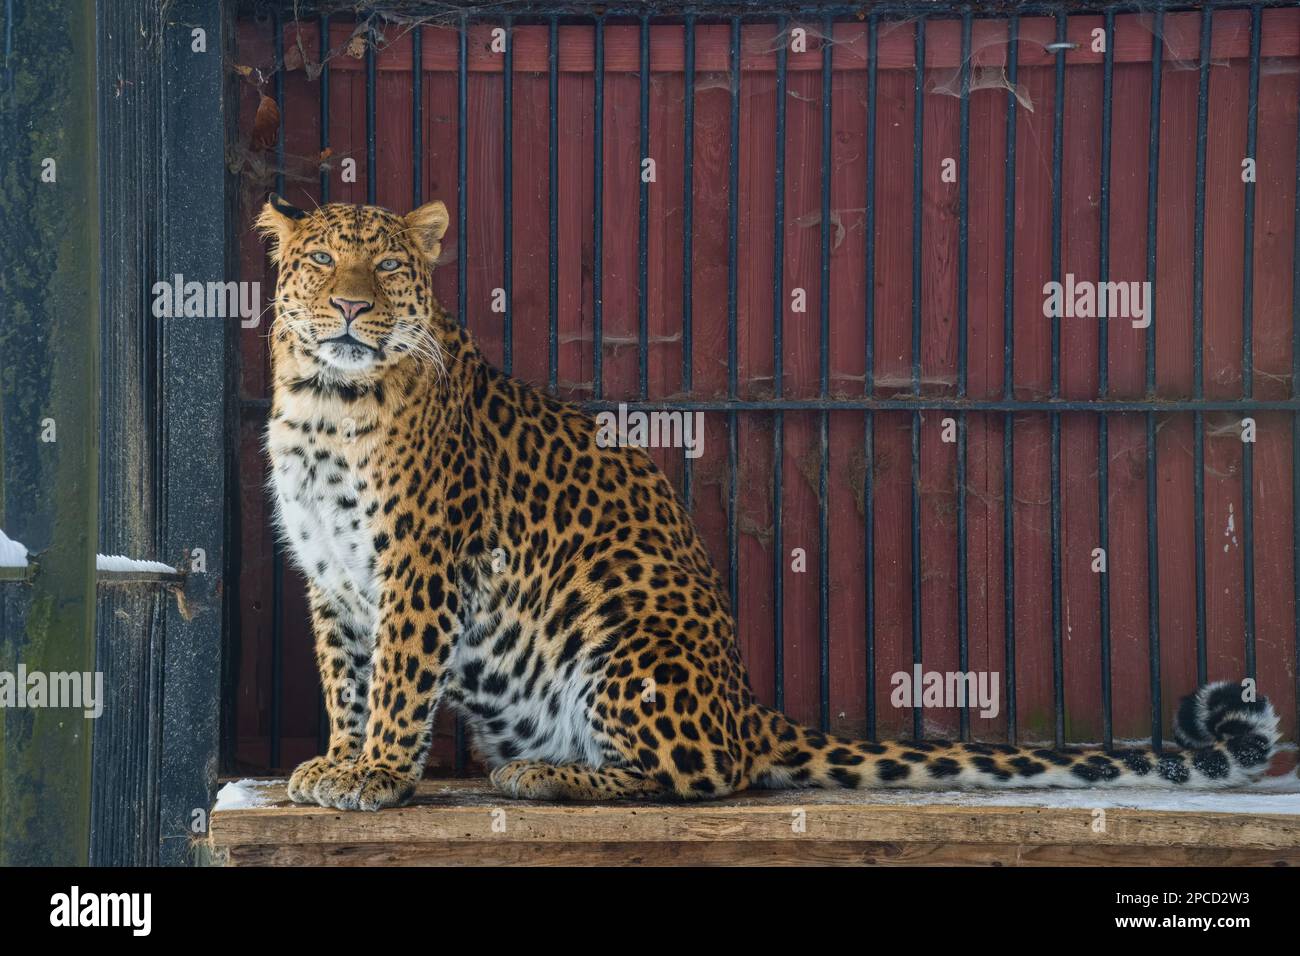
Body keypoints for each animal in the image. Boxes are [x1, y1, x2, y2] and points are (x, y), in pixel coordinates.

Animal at [256, 193, 1283, 811]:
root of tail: (748, 705)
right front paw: (339, 761)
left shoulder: (423, 565)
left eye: (389, 270)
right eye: (322, 263)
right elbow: (347, 678)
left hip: (626, 635)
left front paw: (378, 775)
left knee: (701, 775)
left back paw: (543, 775)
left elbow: (398, 680)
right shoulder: (330, 577)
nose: (351, 310)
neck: (326, 402)